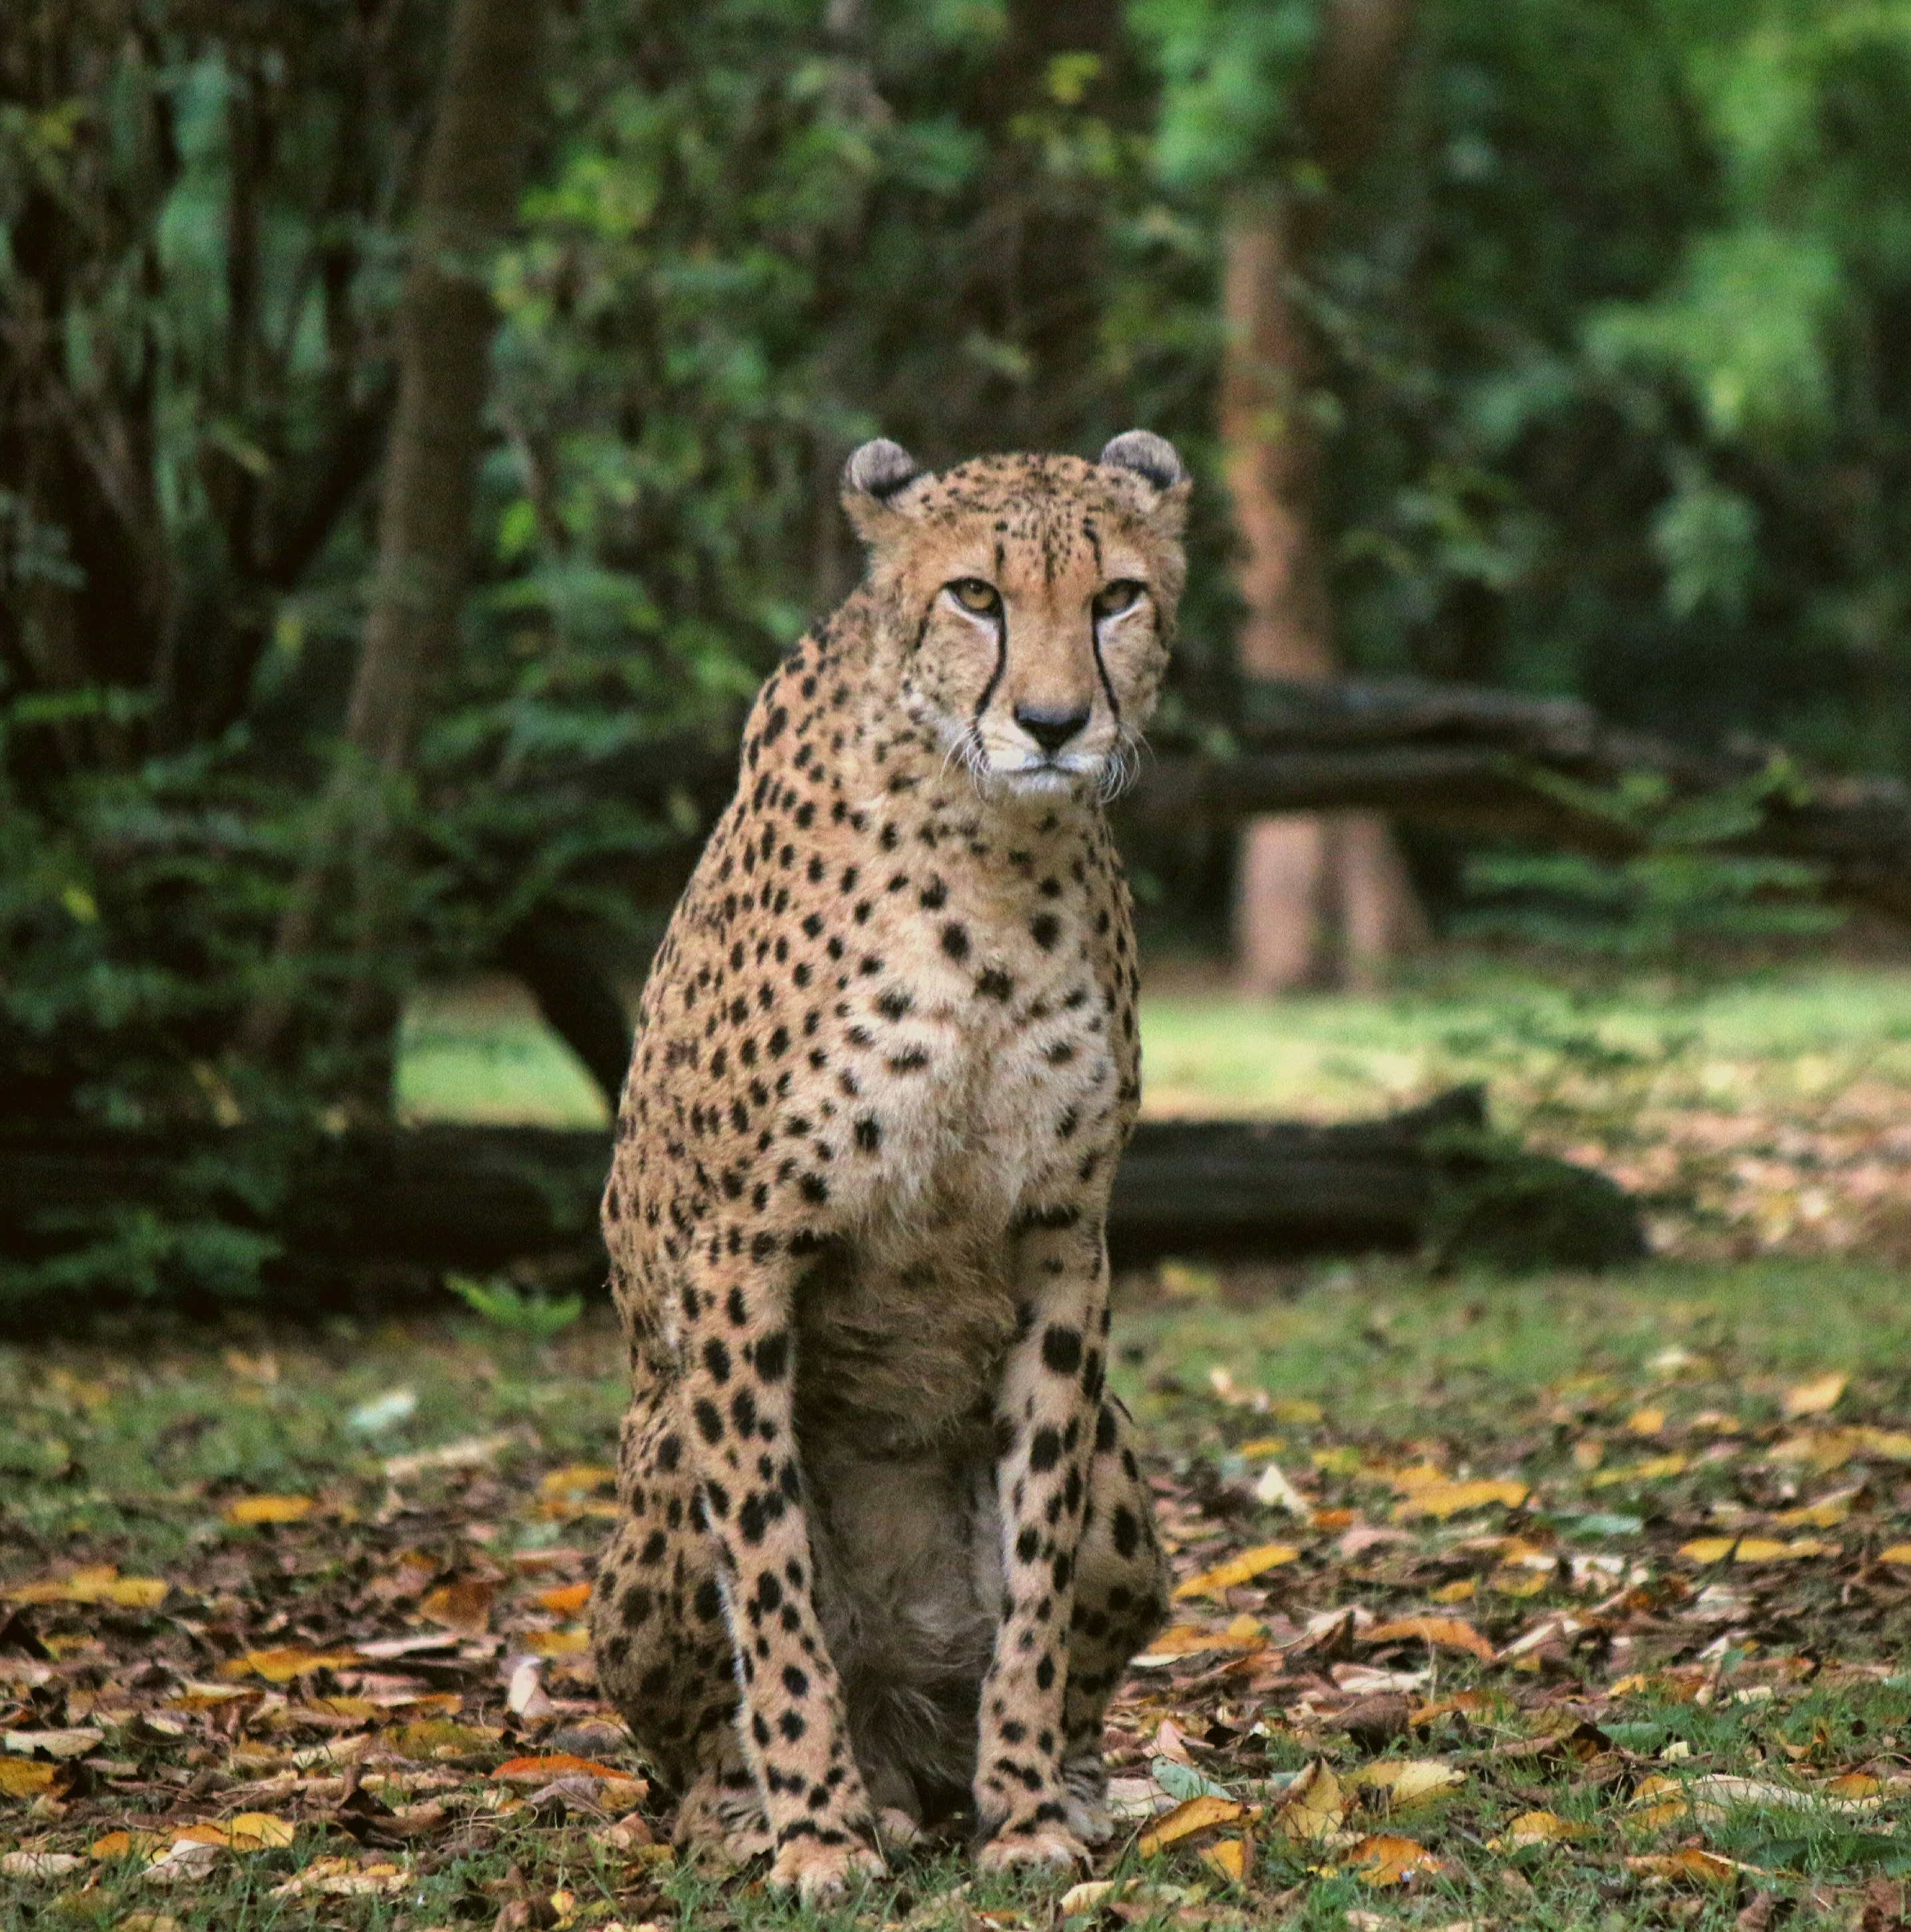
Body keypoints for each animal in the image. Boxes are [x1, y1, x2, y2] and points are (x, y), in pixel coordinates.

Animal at [590, 431, 1187, 1900]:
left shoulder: (1062, 1241)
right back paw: (786, 1808)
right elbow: (774, 1591)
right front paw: (816, 1834)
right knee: (698, 1734)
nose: (1052, 723)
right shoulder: (737, 1259)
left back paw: (1038, 1786)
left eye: (1116, 598)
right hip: (660, 1440)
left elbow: (1034, 1573)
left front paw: (1021, 1813)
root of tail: (909, 1737)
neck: (989, 850)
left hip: (1124, 1463)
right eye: (974, 594)